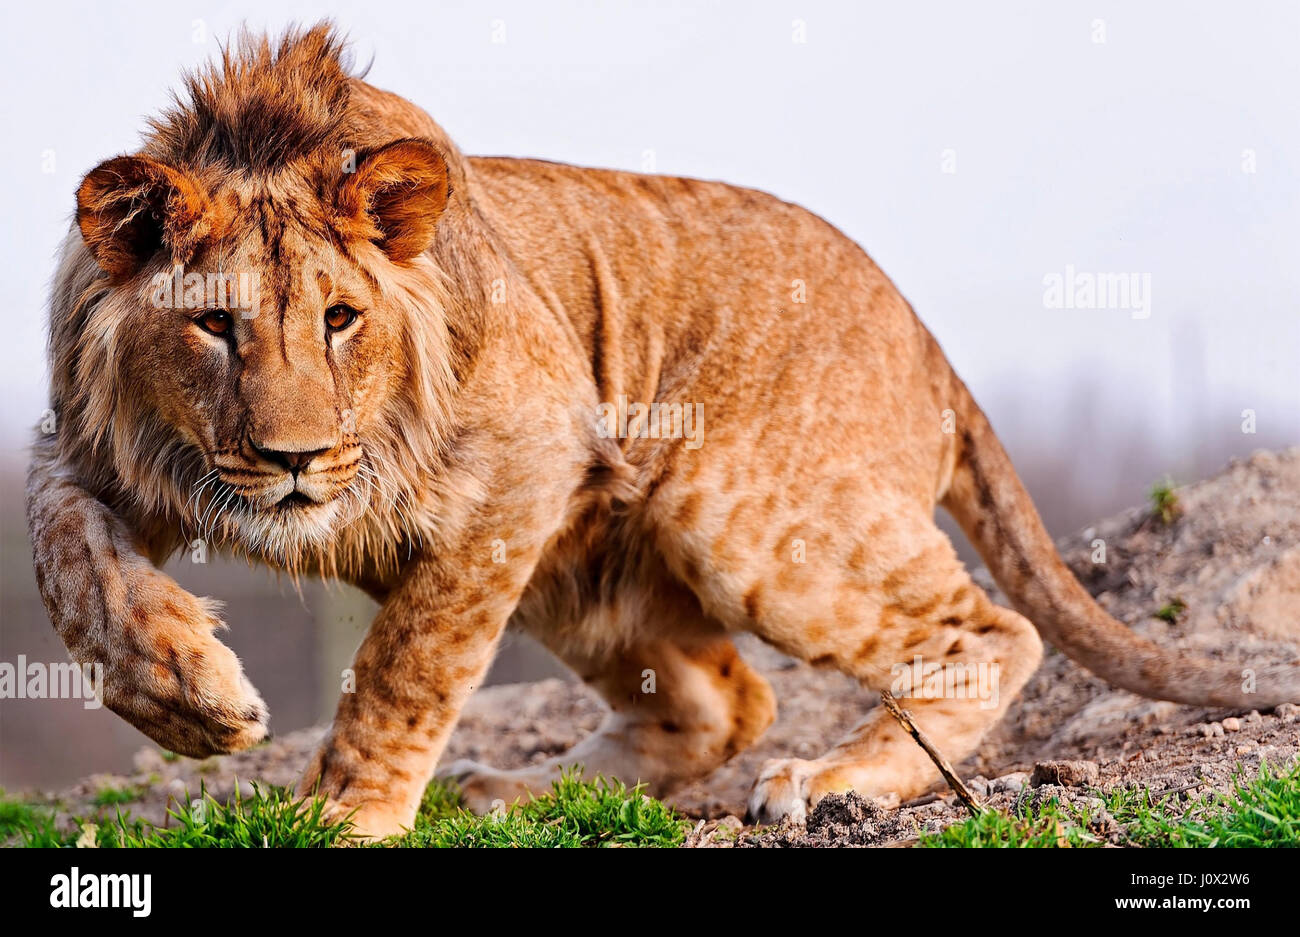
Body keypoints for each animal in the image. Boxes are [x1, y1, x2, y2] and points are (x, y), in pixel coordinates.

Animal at [27, 24, 1299, 839]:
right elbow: (70, 565)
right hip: (583, 569)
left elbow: (403, 665)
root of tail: (923, 334)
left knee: (986, 629)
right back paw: (513, 791)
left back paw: (829, 782)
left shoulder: (524, 456)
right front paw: (191, 698)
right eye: (213, 327)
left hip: (727, 510)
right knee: (725, 701)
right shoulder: (90, 447)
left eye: (340, 320)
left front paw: (344, 814)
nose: (291, 461)